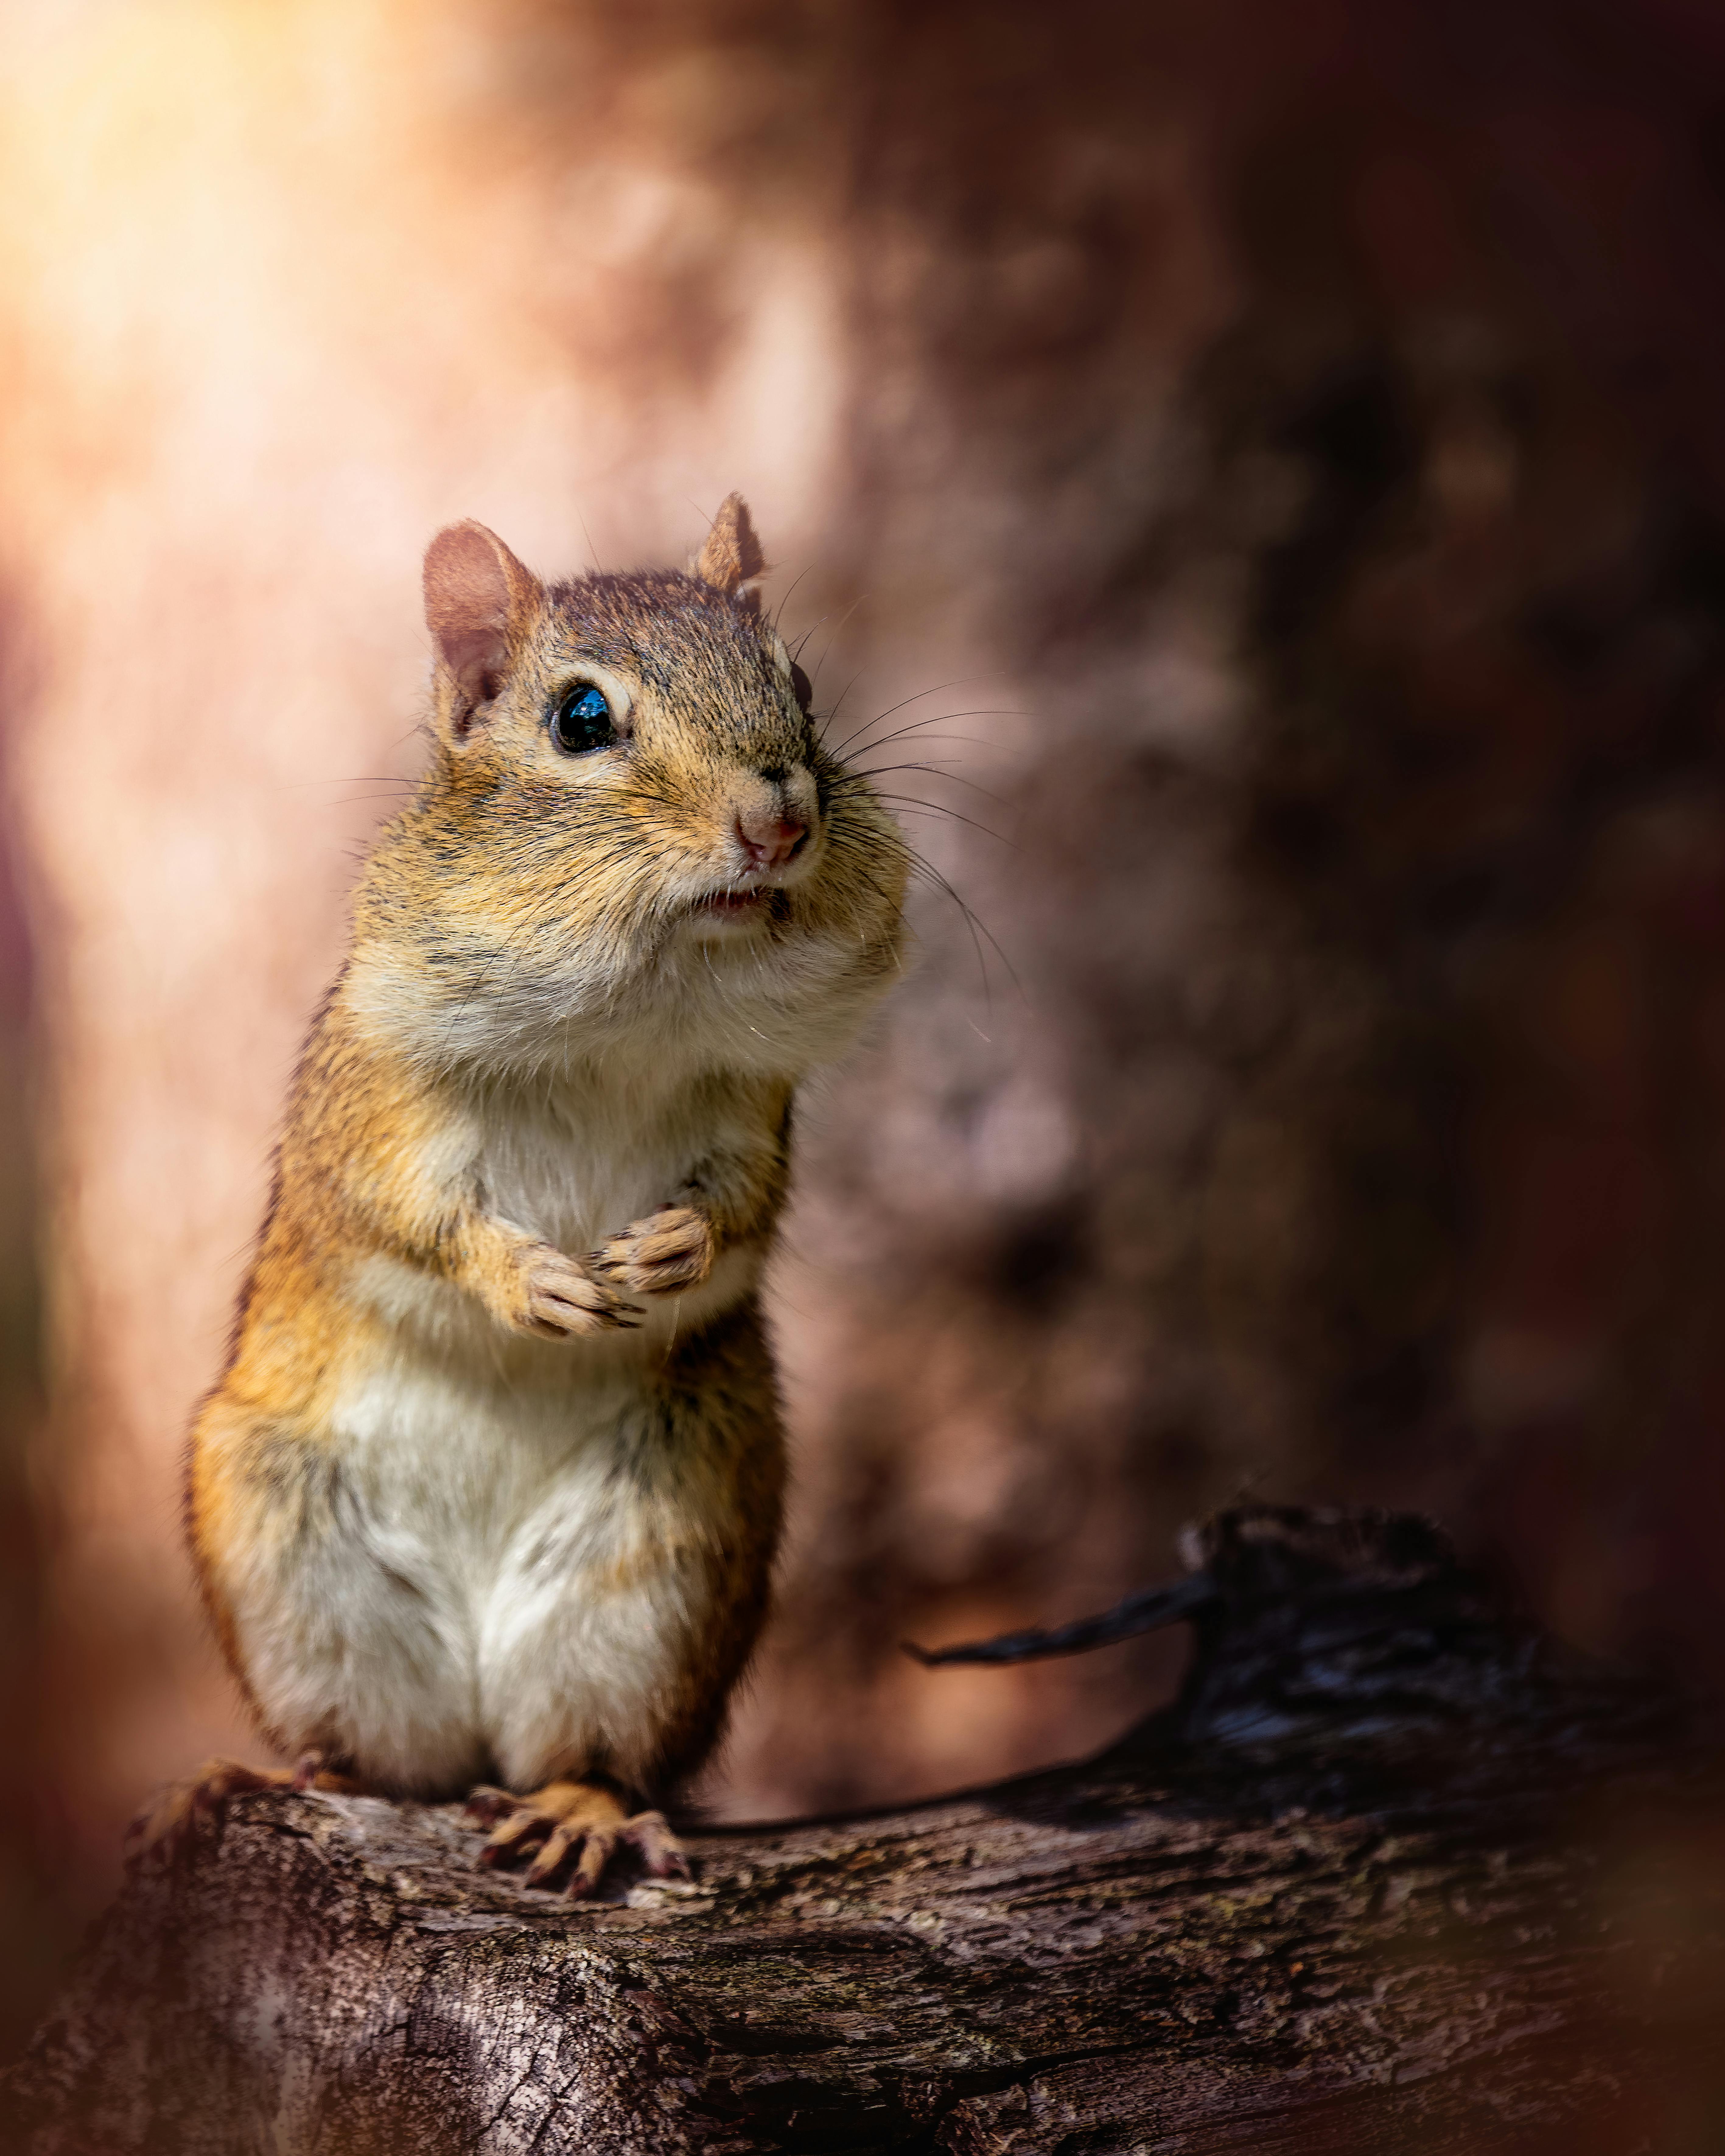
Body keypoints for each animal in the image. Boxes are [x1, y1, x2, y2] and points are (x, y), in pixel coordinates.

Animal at [128, 495, 907, 1895]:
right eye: (581, 718)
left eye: (803, 685)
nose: (780, 822)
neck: (637, 1011)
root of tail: (483, 1730)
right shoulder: (380, 1101)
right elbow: (404, 1215)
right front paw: (530, 1276)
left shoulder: (748, 1111)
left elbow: (747, 1211)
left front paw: (665, 1252)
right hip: (284, 1547)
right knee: (365, 1762)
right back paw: (253, 1777)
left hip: (662, 1567)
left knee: (592, 1750)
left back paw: (579, 1809)